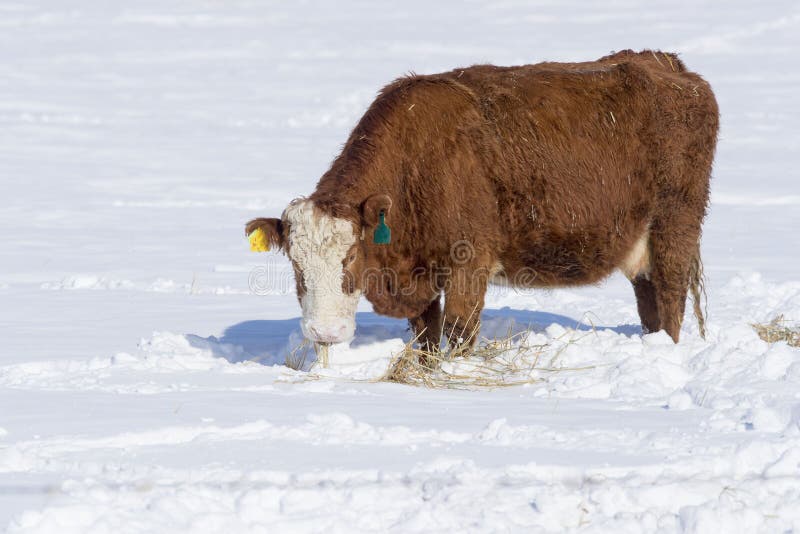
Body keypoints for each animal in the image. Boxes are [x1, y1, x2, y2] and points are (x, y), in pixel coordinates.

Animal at [246, 49, 719, 354]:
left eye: (351, 257)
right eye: (295, 264)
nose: (325, 334)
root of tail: (665, 63)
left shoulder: (469, 260)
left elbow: (458, 332)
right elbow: (426, 336)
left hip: (676, 223)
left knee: (671, 294)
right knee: (649, 297)